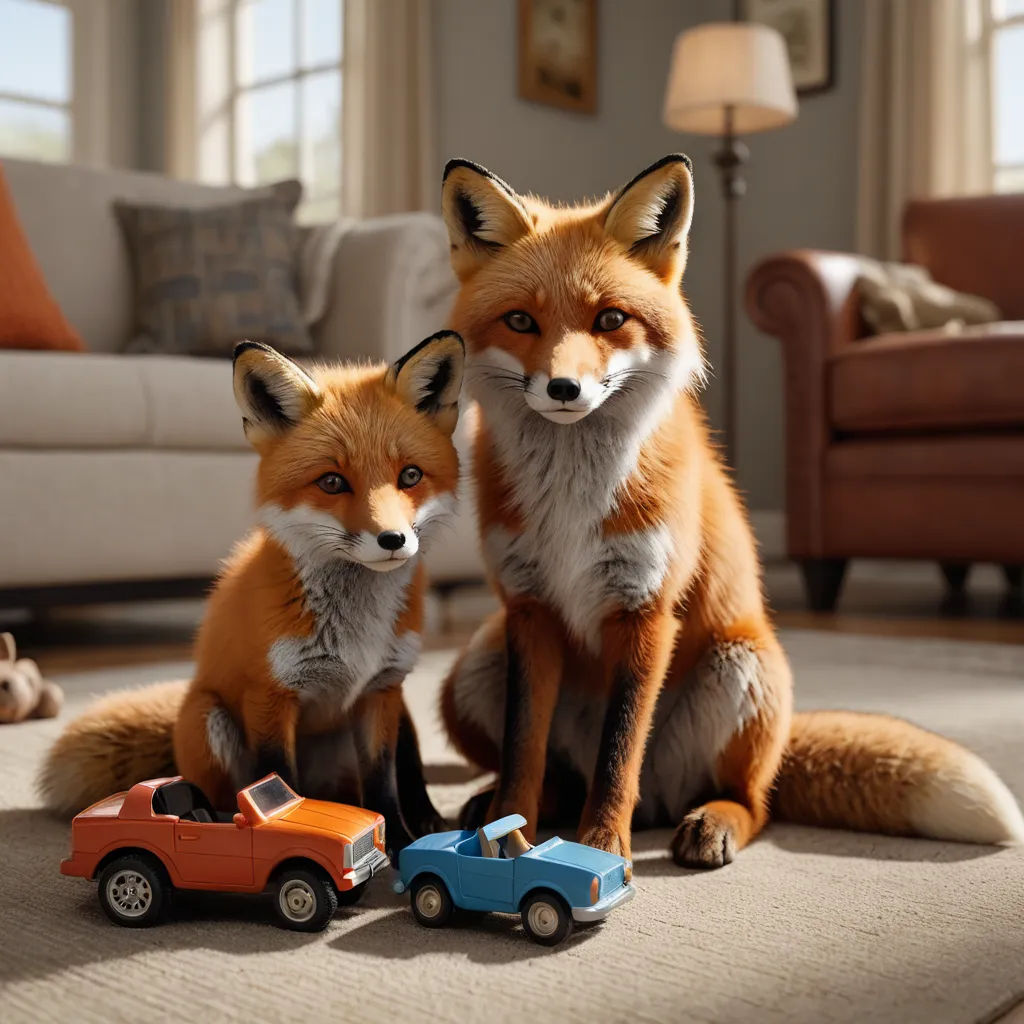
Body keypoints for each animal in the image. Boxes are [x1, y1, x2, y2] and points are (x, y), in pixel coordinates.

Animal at [40, 332, 467, 857]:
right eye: (331, 481)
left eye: (410, 476)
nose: (393, 540)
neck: (355, 635)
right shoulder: (269, 697)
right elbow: (277, 776)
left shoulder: (380, 691)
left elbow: (384, 780)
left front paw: (401, 842)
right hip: (211, 718)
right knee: (216, 792)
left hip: (398, 707)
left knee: (405, 765)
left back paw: (425, 816)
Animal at [436, 154, 1024, 868]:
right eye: (521, 322)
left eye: (610, 320)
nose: (564, 389)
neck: (574, 500)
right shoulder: (529, 610)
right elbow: (524, 750)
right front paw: (507, 835)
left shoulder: (645, 609)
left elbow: (618, 756)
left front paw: (602, 848)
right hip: (473, 668)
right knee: (559, 776)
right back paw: (499, 805)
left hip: (740, 667)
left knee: (752, 803)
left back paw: (711, 820)